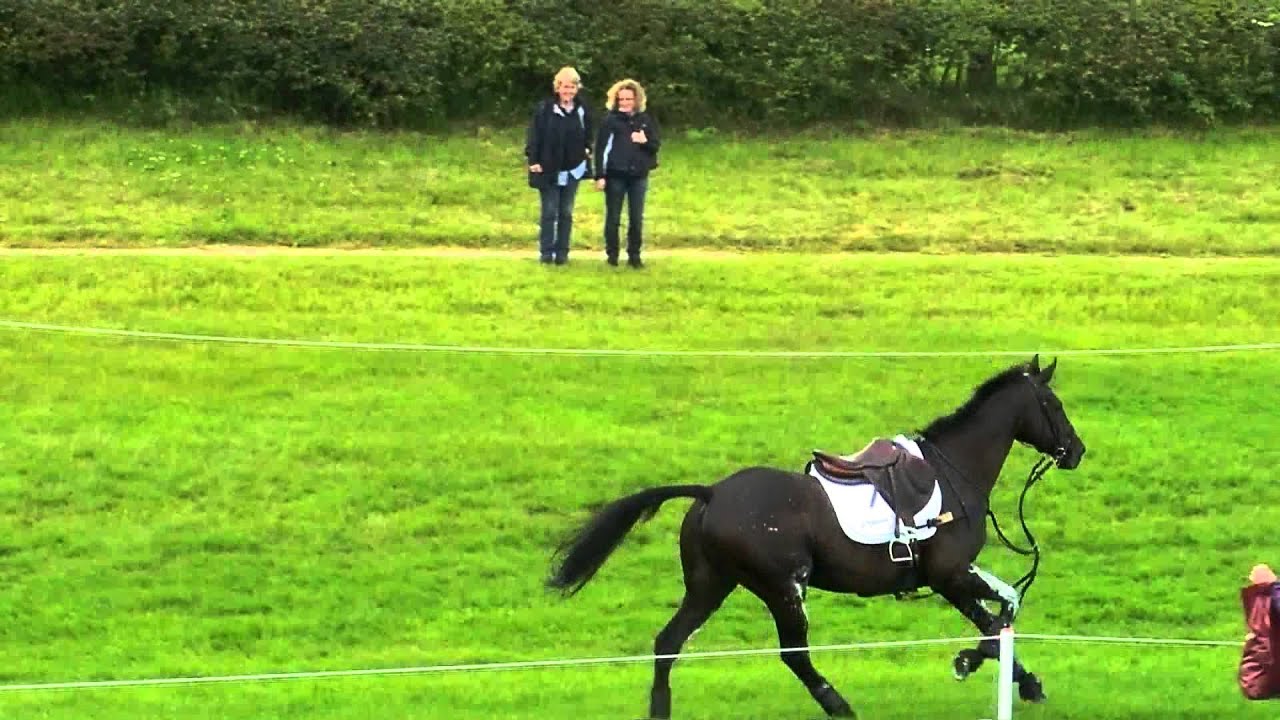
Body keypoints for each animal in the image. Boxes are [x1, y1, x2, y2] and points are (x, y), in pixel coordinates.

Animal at [546, 356, 1087, 719]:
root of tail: (712, 492)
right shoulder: (949, 574)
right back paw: (839, 704)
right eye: (1053, 403)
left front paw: (1021, 680)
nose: (1076, 450)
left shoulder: (953, 576)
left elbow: (1004, 612)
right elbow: (996, 621)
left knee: (668, 643)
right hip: (783, 588)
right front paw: (975, 665)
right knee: (794, 654)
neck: (952, 471)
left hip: (710, 586)